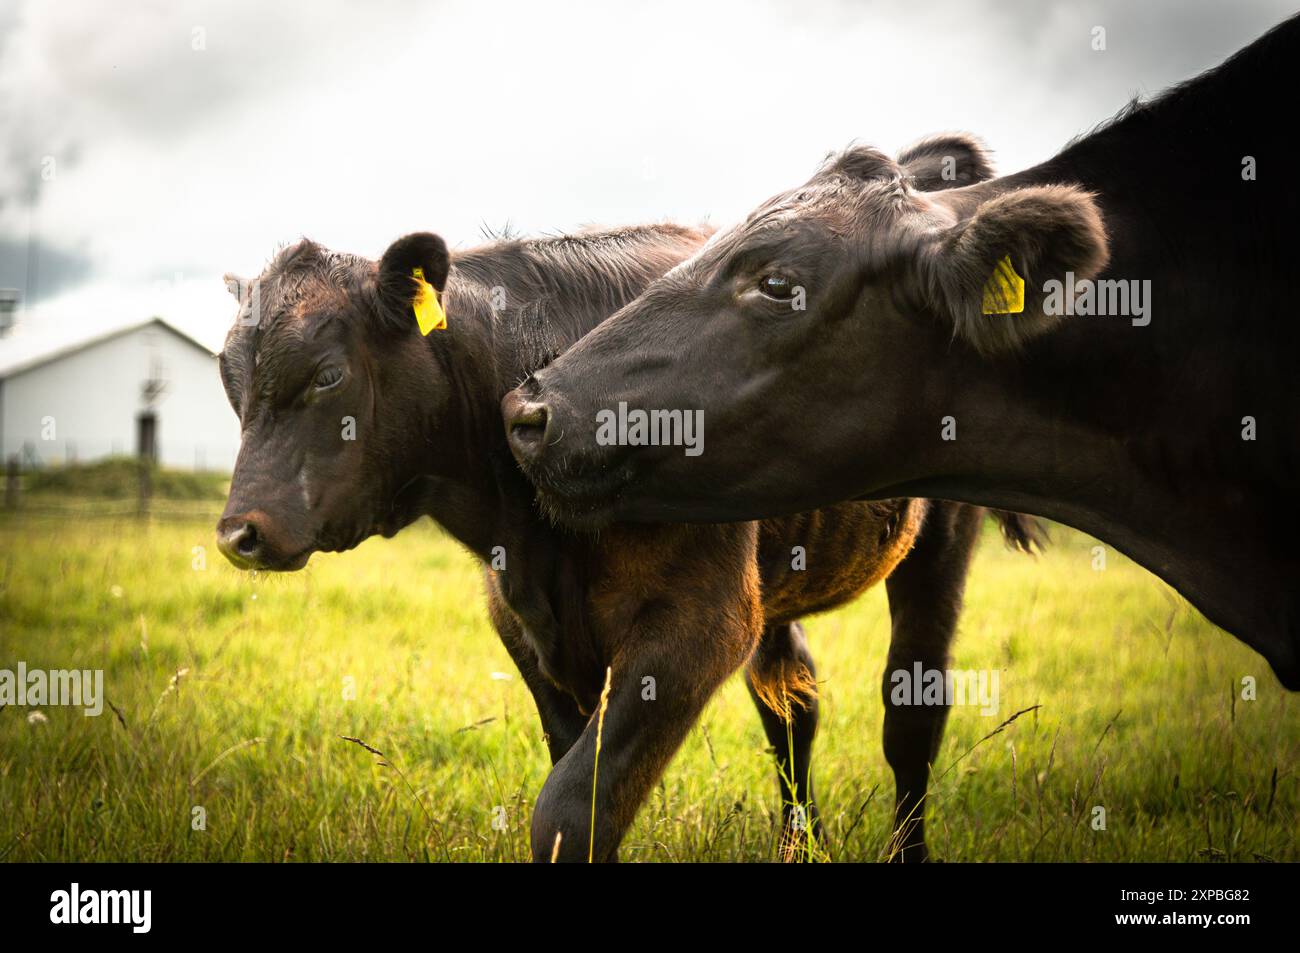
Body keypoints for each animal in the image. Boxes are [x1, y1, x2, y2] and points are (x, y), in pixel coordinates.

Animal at [216, 147, 1038, 861]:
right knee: (792, 703)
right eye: (231, 381)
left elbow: (569, 808)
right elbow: (574, 775)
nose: (238, 535)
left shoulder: (696, 623)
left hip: (939, 543)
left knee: (911, 715)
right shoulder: (521, 624)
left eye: (328, 374)